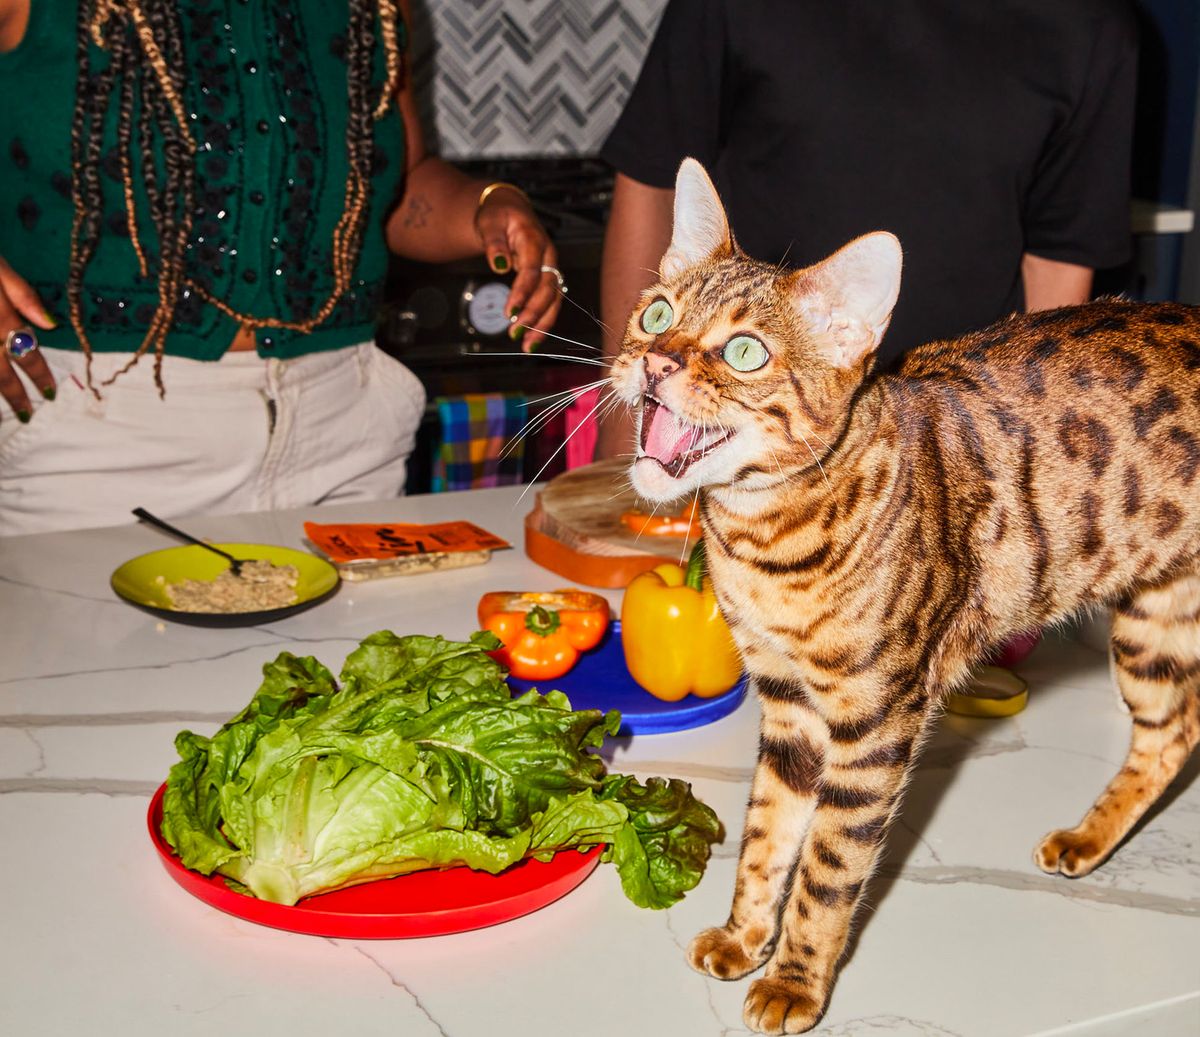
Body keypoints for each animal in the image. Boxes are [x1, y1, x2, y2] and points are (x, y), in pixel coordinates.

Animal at [609, 158, 1200, 1032]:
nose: (655, 363)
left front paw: (794, 981)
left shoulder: (878, 717)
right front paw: (745, 934)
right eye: (655, 313)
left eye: (744, 351)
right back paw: (1087, 839)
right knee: (1172, 732)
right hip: (1154, 618)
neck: (768, 545)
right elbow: (767, 835)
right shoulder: (789, 707)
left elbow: (827, 868)